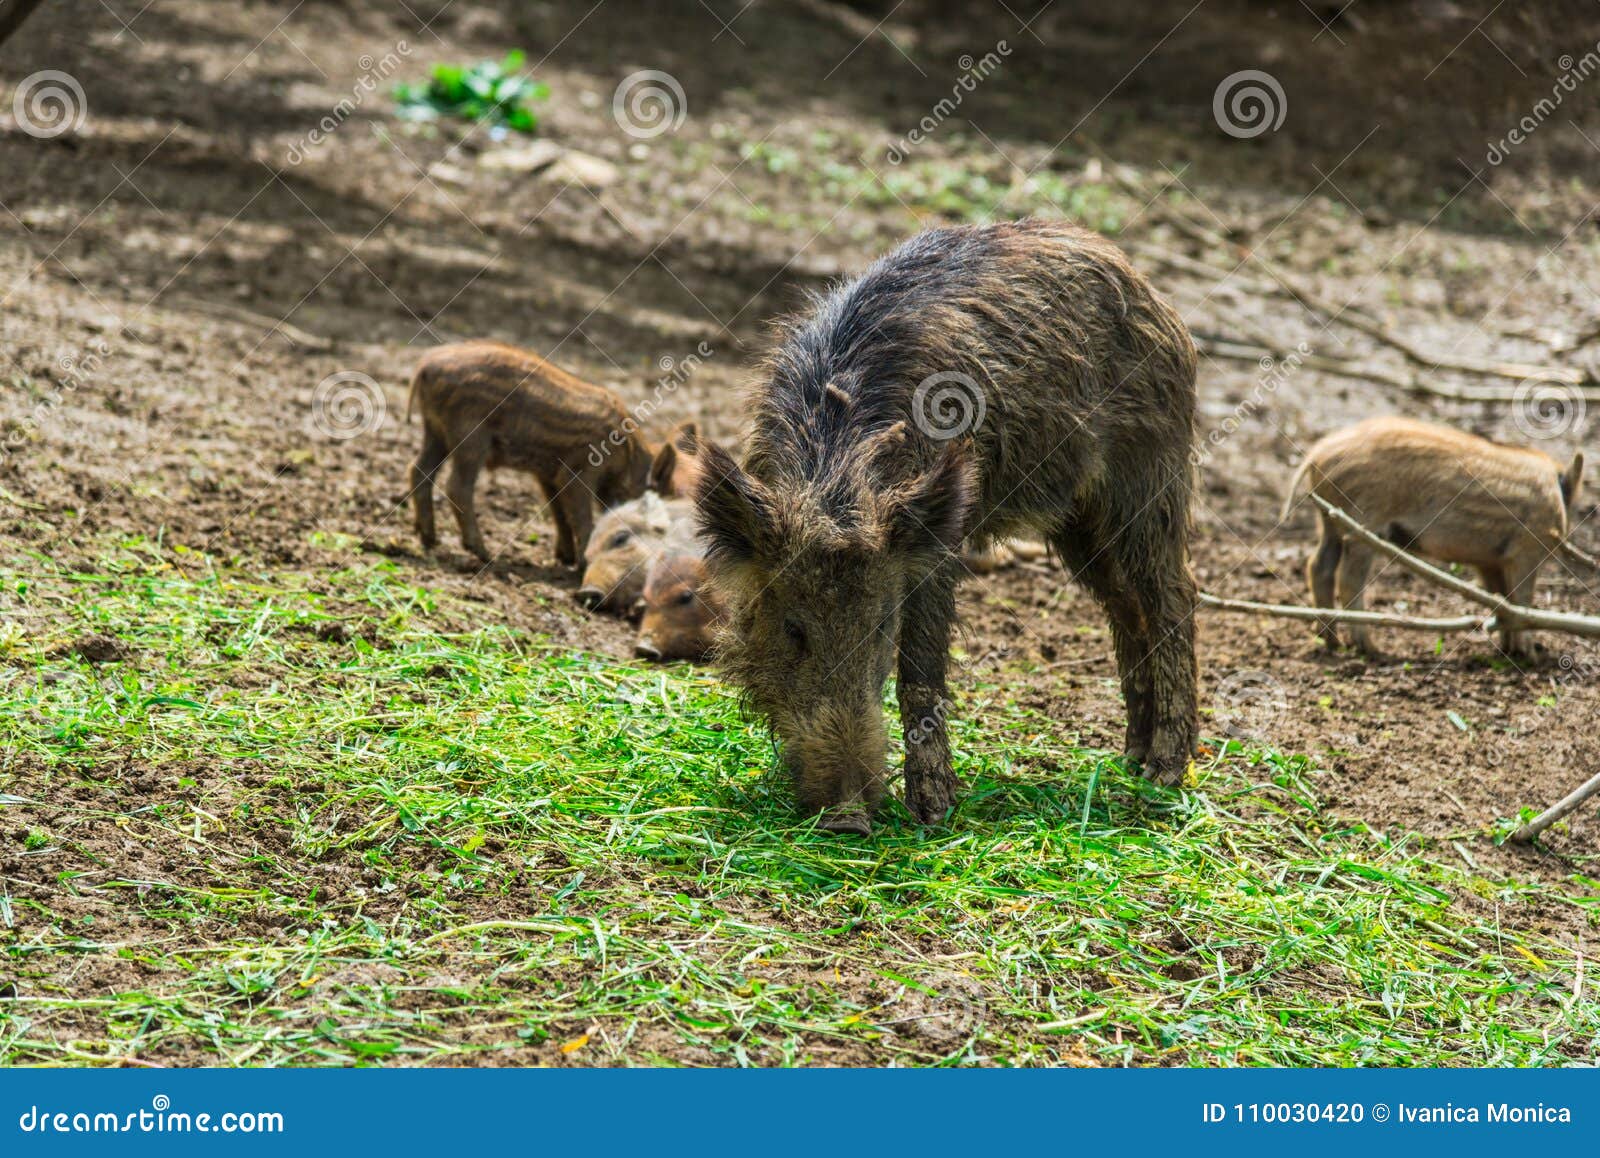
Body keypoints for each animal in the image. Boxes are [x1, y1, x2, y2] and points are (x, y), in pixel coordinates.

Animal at [408, 341, 679, 567]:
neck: (628, 456)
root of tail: (426, 367)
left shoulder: (549, 475)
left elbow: (559, 513)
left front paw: (566, 558)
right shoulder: (578, 472)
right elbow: (581, 517)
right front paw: (582, 563)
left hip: (436, 432)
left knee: (419, 470)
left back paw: (429, 539)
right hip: (470, 437)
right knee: (457, 486)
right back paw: (483, 554)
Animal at [695, 219, 1199, 833]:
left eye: (880, 627)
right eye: (793, 629)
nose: (848, 819)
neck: (836, 481)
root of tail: (1143, 284)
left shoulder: (933, 554)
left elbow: (920, 670)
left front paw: (934, 812)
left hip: (1148, 481)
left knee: (1174, 596)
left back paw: (1164, 774)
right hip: (1079, 523)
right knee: (1125, 607)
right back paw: (1130, 758)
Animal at [1283, 416, 1585, 656]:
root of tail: (1318, 453)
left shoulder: (1489, 561)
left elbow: (1502, 598)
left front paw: (1508, 651)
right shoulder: (1525, 550)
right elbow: (1522, 599)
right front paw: (1529, 656)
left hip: (1329, 520)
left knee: (1318, 567)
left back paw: (1331, 642)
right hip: (1362, 525)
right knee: (1348, 581)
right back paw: (1370, 648)